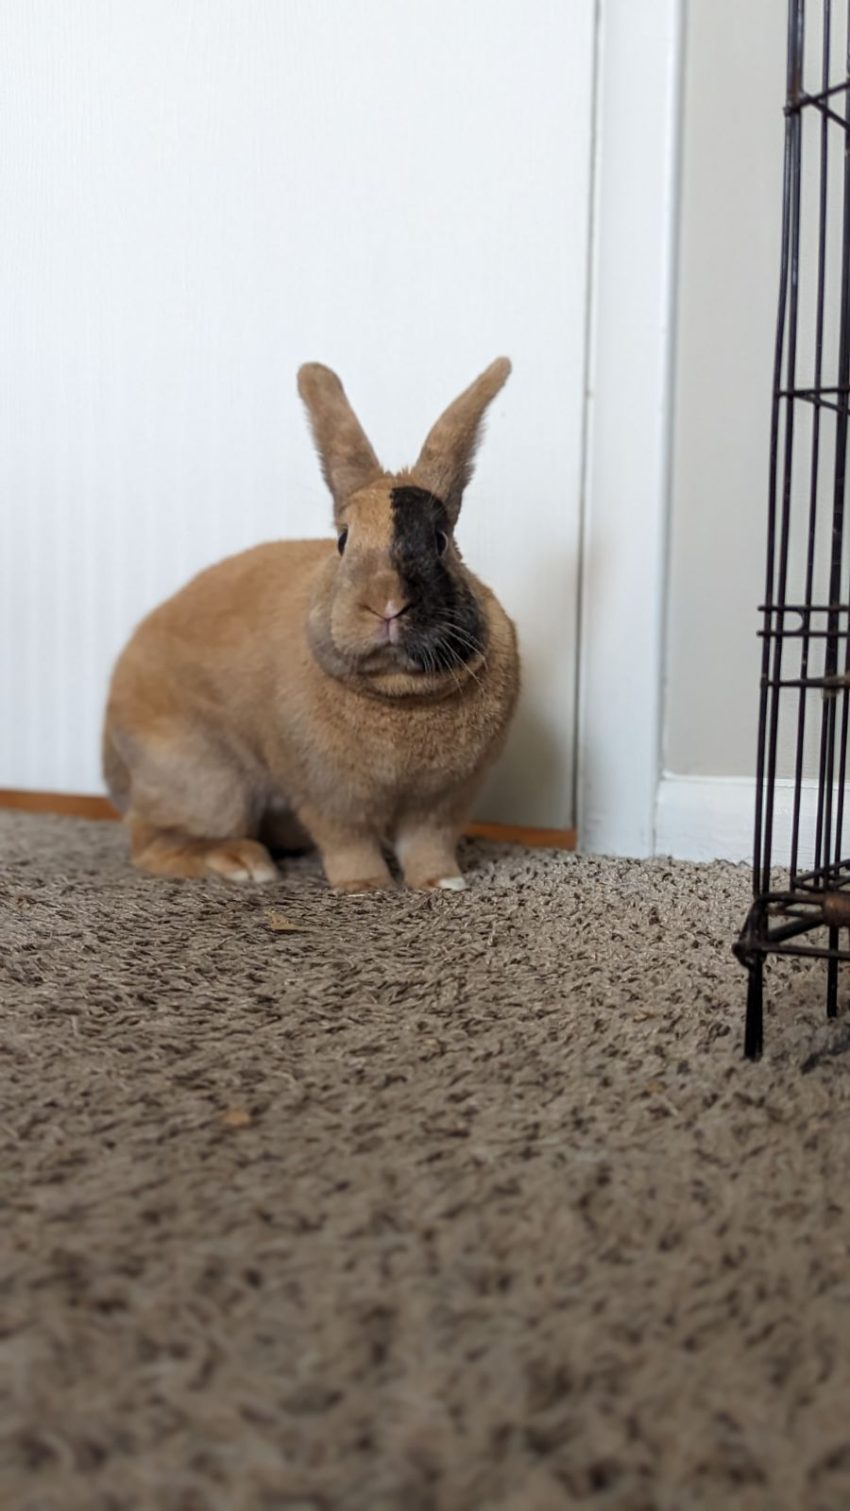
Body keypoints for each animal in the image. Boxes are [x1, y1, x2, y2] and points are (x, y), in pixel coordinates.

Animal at [102, 357, 520, 891]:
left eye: (441, 540)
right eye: (343, 541)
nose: (386, 604)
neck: (399, 692)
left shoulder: (443, 801)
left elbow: (427, 843)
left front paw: (441, 882)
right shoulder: (327, 795)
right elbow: (349, 842)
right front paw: (365, 886)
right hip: (205, 782)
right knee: (151, 841)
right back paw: (243, 864)